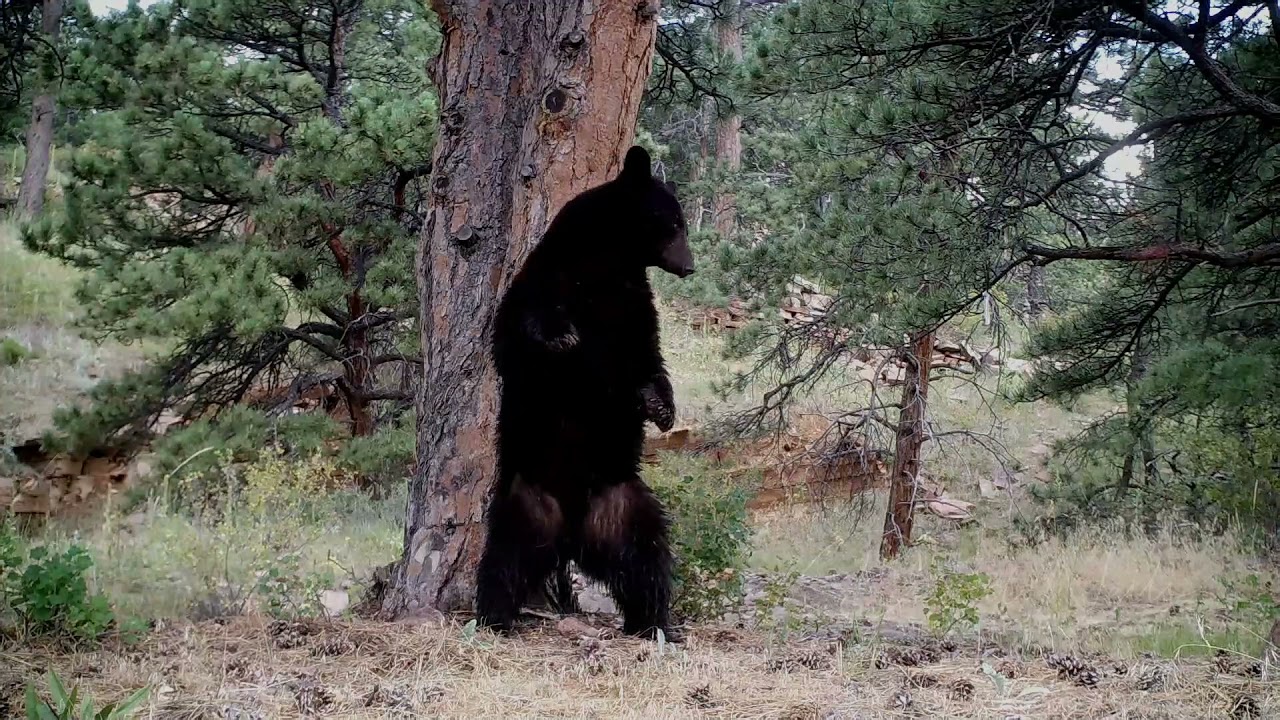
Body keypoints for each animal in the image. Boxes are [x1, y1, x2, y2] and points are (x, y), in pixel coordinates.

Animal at [475, 145, 694, 640]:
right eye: (675, 222)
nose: (690, 265)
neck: (607, 262)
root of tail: (573, 536)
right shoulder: (548, 275)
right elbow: (517, 329)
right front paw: (561, 336)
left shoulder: (633, 306)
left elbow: (647, 359)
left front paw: (661, 406)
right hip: (527, 499)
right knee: (505, 557)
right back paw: (495, 617)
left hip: (623, 504)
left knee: (646, 560)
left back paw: (654, 622)